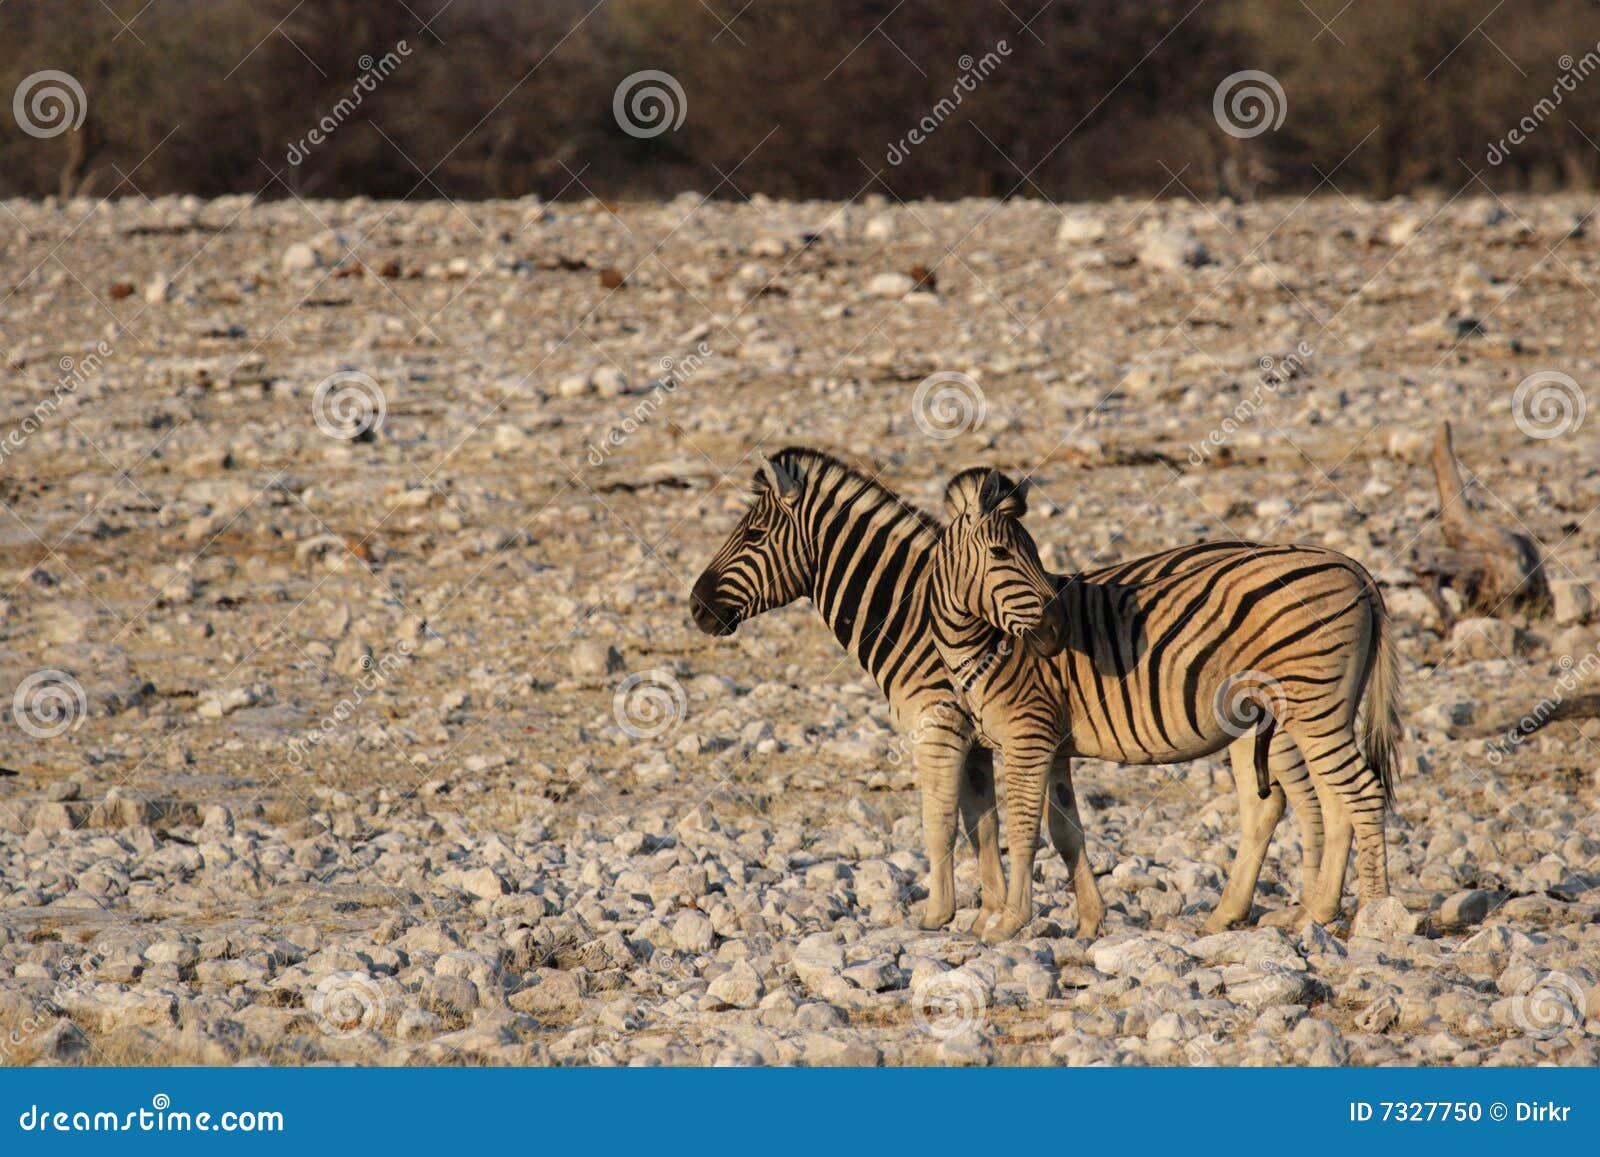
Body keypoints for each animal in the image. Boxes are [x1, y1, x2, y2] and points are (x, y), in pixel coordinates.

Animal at [690, 447, 1332, 937]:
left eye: (752, 534)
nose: (695, 608)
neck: (921, 617)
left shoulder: (943, 724)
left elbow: (942, 819)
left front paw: (942, 915)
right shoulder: (982, 739)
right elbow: (990, 824)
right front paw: (999, 914)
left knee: (1308, 798)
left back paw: (1309, 911)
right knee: (1287, 801)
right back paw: (1282, 910)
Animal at [928, 466, 1401, 942]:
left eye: (1033, 554)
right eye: (1001, 553)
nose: (1057, 633)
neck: (983, 645)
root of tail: (1355, 568)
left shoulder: (1027, 737)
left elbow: (1020, 828)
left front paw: (1008, 921)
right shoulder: (1049, 744)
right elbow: (1060, 829)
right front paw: (1086, 922)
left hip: (1312, 705)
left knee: (1361, 793)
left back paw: (1374, 915)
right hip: (1309, 713)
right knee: (1329, 803)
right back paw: (1308, 913)